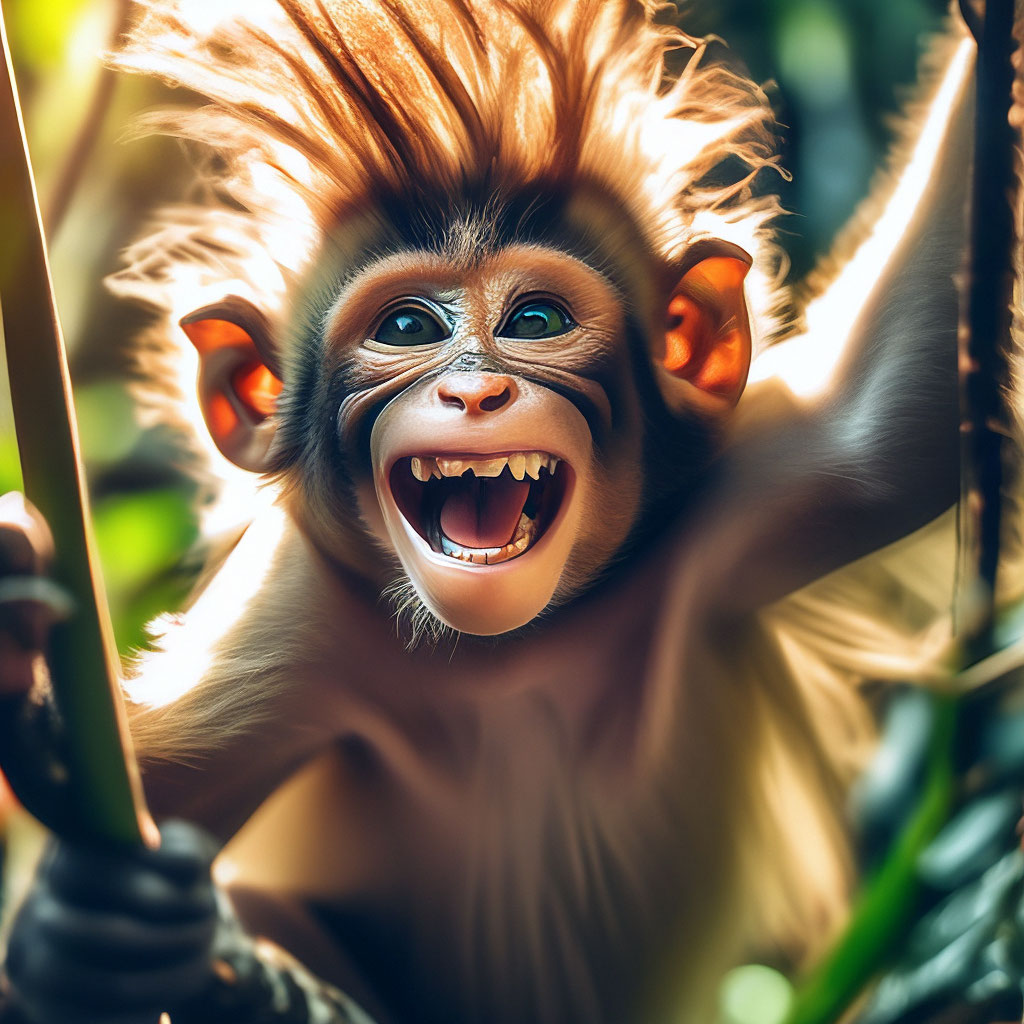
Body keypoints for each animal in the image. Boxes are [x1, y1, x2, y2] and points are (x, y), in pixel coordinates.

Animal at [0, 1, 984, 1022]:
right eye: (406, 329)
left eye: (536, 321)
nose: (476, 392)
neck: (508, 649)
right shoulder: (280, 623)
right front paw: (82, 926)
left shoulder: (743, 490)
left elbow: (893, 419)